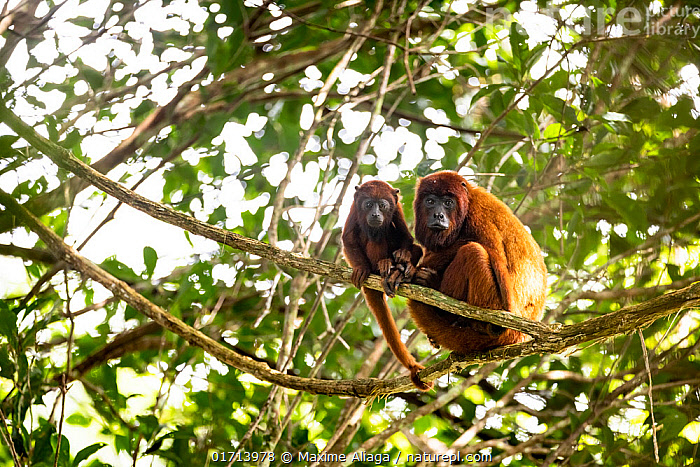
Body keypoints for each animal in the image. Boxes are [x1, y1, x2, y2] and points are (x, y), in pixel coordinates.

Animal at [342, 180, 431, 391]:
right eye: (368, 204)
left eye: (382, 205)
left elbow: (407, 238)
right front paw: (361, 268)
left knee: (406, 243)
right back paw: (382, 266)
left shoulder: (397, 208)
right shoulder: (354, 208)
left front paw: (403, 257)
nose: (375, 214)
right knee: (374, 236)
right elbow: (348, 238)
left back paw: (401, 269)